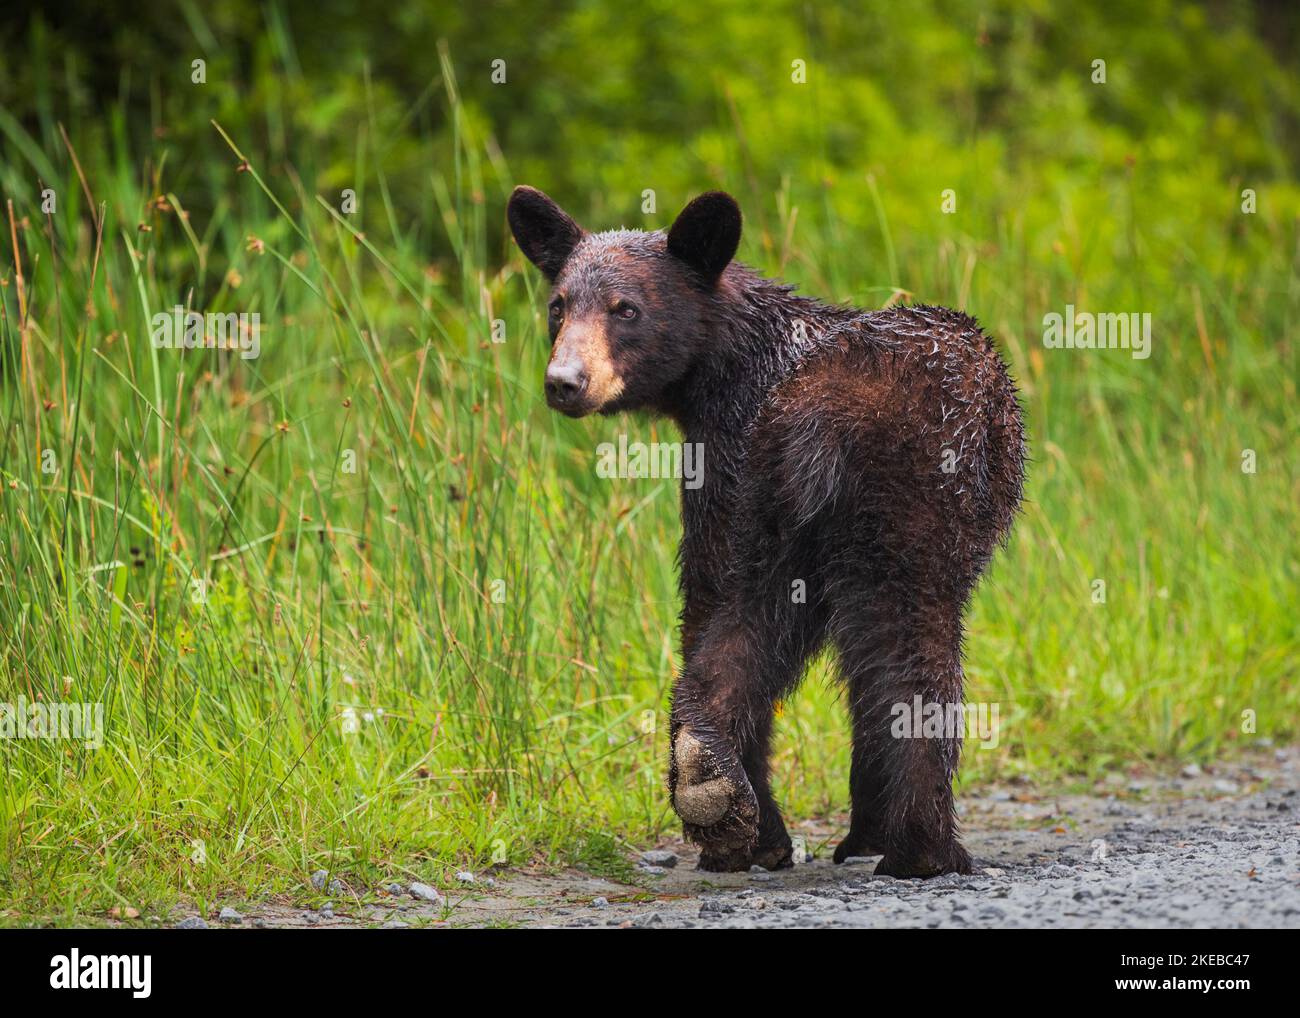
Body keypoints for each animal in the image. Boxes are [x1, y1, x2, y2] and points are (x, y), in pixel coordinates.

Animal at [508, 186, 1026, 877]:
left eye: (626, 309)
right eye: (559, 306)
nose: (565, 382)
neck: (727, 371)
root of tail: (821, 412)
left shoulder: (719, 465)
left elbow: (714, 603)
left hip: (784, 511)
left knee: (743, 623)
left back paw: (718, 794)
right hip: (901, 514)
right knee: (909, 650)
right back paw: (926, 848)